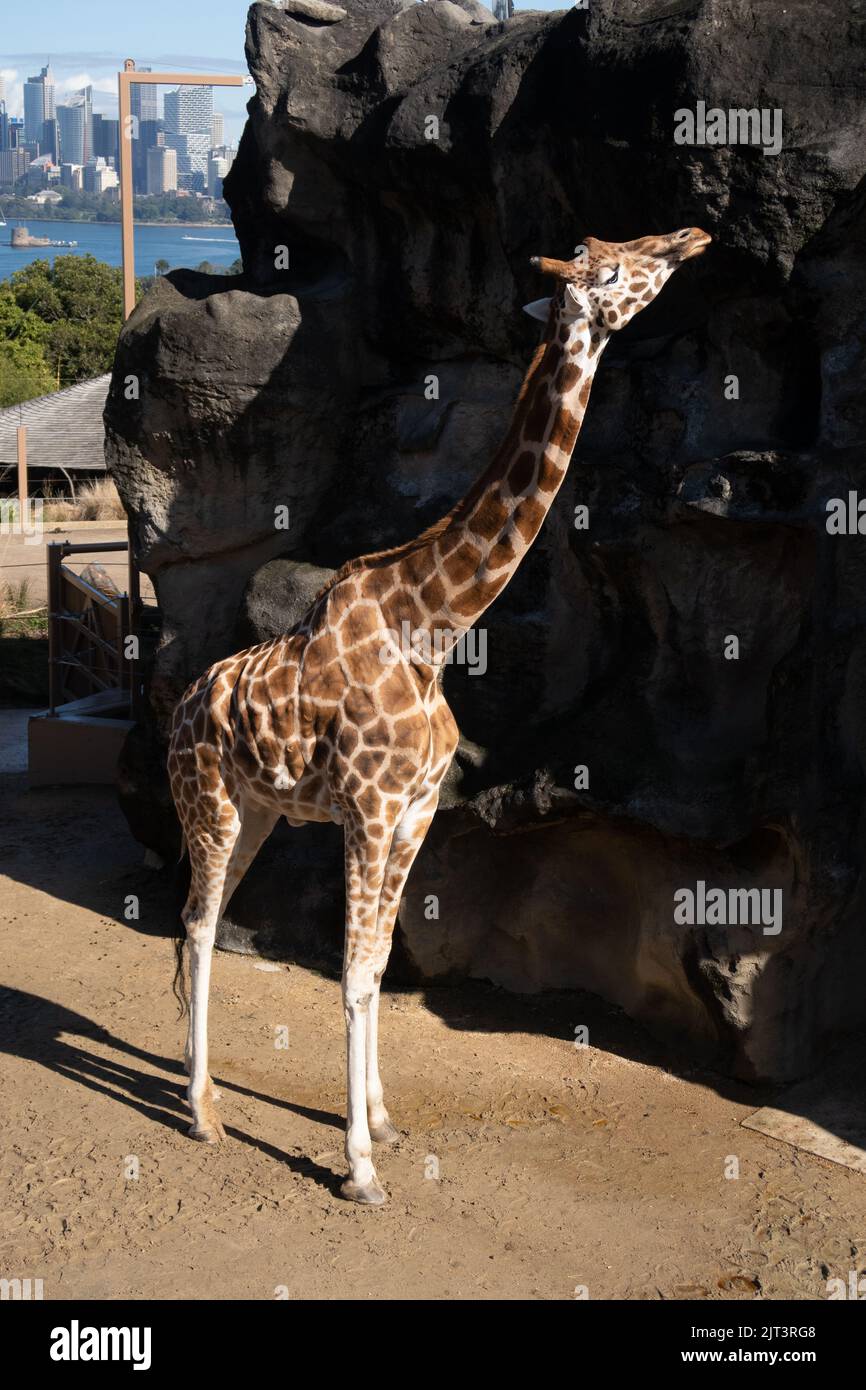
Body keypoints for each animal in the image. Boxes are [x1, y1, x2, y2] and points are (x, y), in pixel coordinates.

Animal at [168, 225, 711, 1204]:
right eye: (611, 267)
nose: (691, 236)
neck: (434, 623)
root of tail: (179, 711)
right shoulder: (370, 809)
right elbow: (351, 972)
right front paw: (359, 1169)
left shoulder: (416, 810)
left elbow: (382, 963)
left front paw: (381, 1120)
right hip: (211, 807)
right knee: (194, 925)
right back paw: (202, 1114)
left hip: (261, 812)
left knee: (205, 924)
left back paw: (207, 1098)